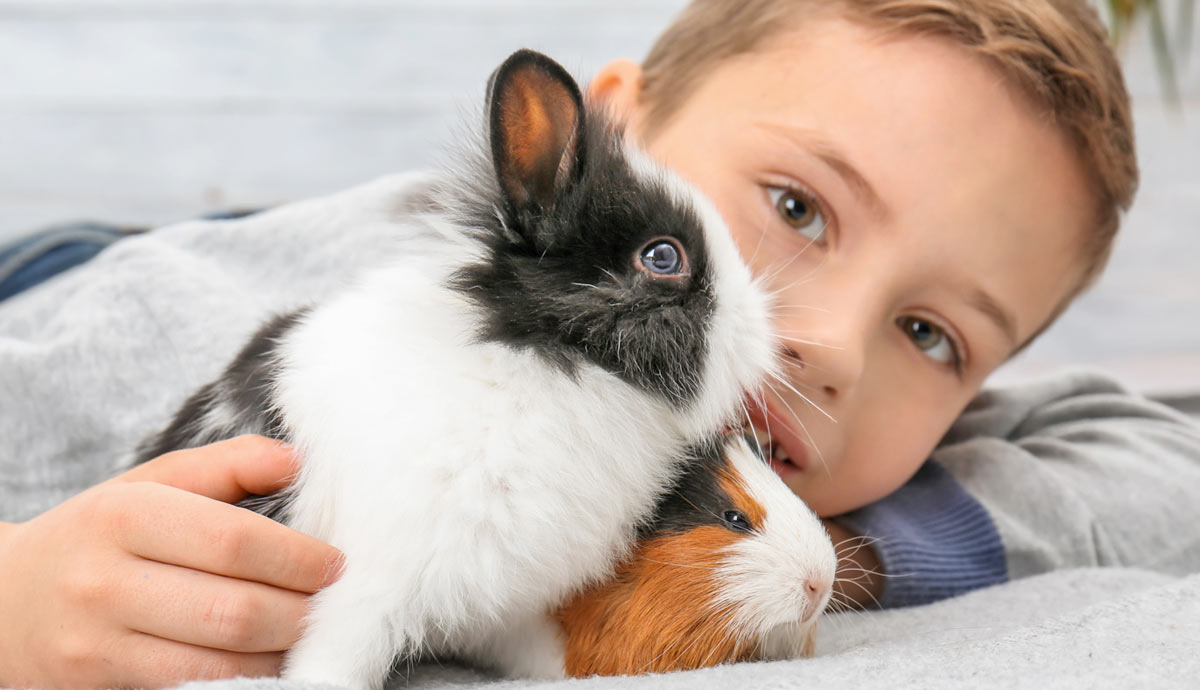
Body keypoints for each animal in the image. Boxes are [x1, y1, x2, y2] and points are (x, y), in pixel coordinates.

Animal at [136, 49, 777, 690]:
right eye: (663, 257)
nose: (763, 331)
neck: (539, 357)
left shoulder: (503, 598)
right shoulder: (366, 589)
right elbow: (333, 660)